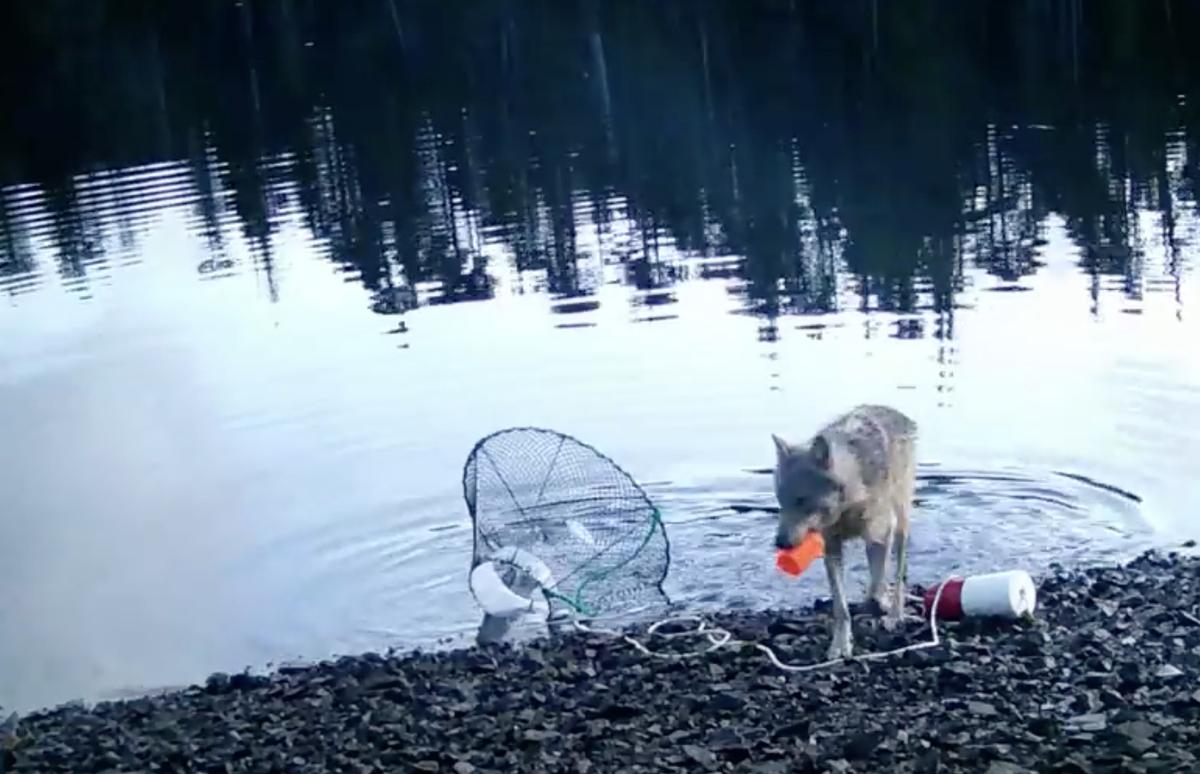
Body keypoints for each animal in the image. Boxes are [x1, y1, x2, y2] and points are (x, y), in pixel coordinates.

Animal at [771, 404, 917, 660]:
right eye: (781, 501)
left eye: (801, 500)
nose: (780, 543)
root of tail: (894, 411)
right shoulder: (831, 547)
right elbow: (841, 607)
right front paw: (840, 645)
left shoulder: (880, 532)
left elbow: (883, 577)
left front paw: (882, 608)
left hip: (899, 523)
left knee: (899, 573)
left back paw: (894, 613)